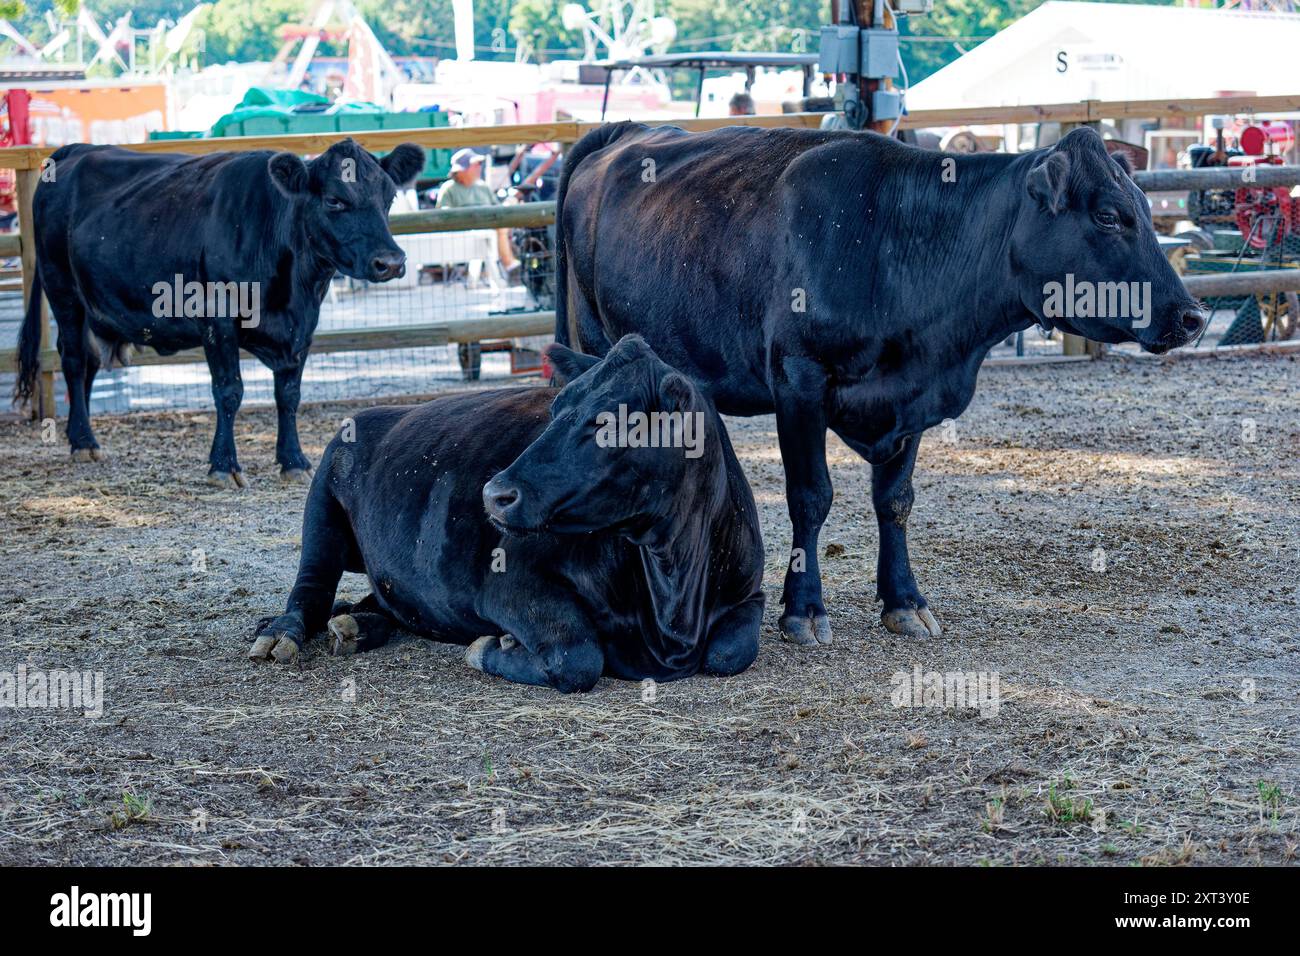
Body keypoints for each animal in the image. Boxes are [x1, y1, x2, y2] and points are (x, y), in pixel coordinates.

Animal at [13, 138, 425, 488]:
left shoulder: (304, 325)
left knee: (91, 361)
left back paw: (81, 439)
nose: (391, 262)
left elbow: (289, 393)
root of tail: (77, 149)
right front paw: (224, 465)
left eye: (388, 198)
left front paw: (294, 461)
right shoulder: (216, 316)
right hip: (61, 288)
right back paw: (83, 441)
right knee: (73, 360)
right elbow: (229, 391)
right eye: (334, 200)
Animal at [249, 335, 766, 693]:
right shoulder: (508, 580)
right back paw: (282, 634)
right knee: (310, 590)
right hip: (322, 509)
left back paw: (354, 624)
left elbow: (730, 651)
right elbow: (579, 656)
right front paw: (489, 647)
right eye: (554, 408)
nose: (494, 493)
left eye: (605, 423)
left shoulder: (750, 591)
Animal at [554, 123, 1205, 645]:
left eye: (1147, 212)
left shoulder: (911, 400)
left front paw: (905, 603)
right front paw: (803, 611)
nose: (1193, 316)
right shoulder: (799, 381)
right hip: (596, 344)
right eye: (1107, 215)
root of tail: (621, 134)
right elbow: (810, 496)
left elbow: (895, 501)